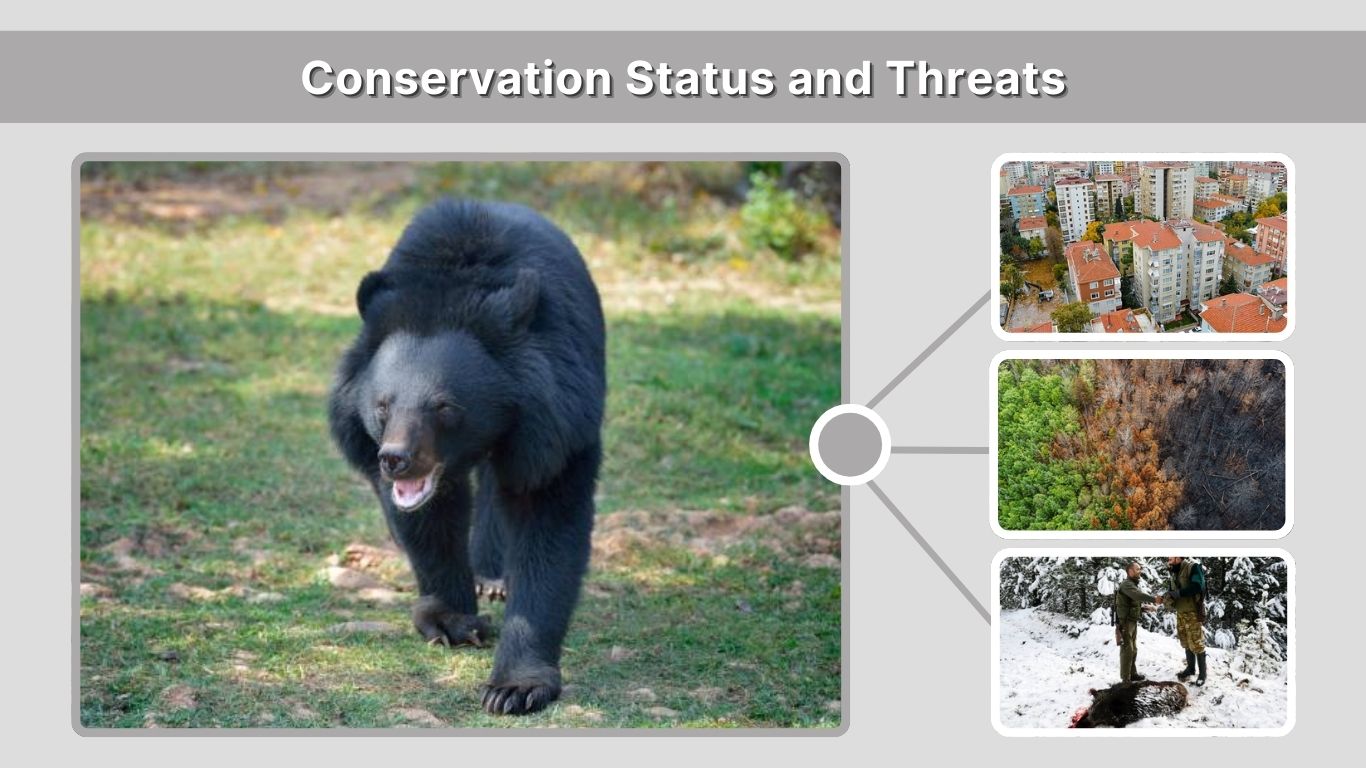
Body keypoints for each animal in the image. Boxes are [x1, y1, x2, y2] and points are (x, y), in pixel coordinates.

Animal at [327, 199, 606, 716]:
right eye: (382, 406)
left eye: (444, 407)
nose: (395, 459)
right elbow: (428, 522)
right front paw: (452, 621)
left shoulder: (558, 420)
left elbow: (548, 520)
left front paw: (515, 688)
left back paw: (494, 578)